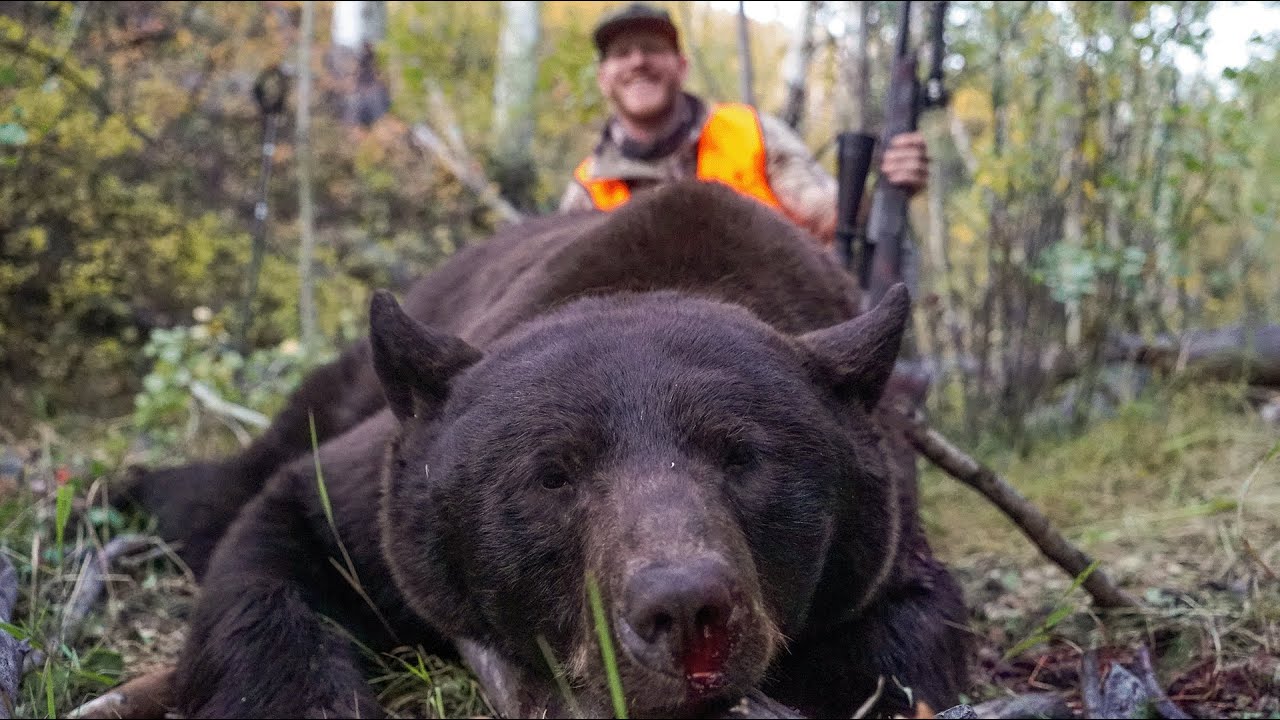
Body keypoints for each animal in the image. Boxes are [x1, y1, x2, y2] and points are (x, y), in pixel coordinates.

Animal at [130, 181, 968, 718]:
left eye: (743, 459)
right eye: (553, 476)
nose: (686, 608)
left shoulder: (887, 526)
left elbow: (906, 647)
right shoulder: (386, 501)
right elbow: (283, 541)